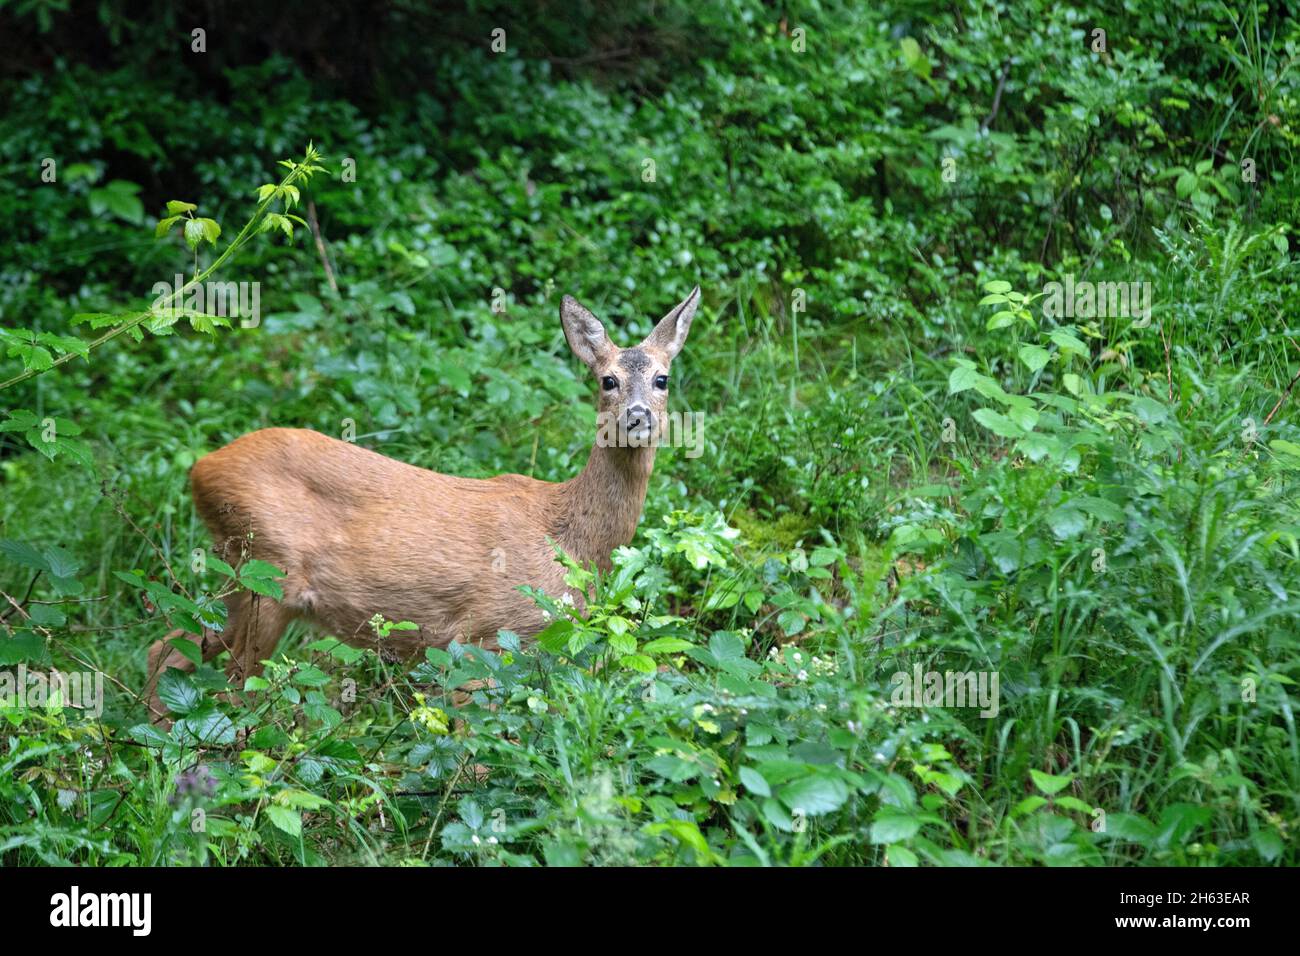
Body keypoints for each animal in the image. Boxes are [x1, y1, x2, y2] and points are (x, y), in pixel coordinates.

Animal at [144, 286, 701, 721]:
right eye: (607, 379)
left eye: (662, 378)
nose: (637, 416)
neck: (569, 537)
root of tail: (201, 469)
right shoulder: (483, 635)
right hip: (268, 570)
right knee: (234, 687)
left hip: (239, 575)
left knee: (168, 647)